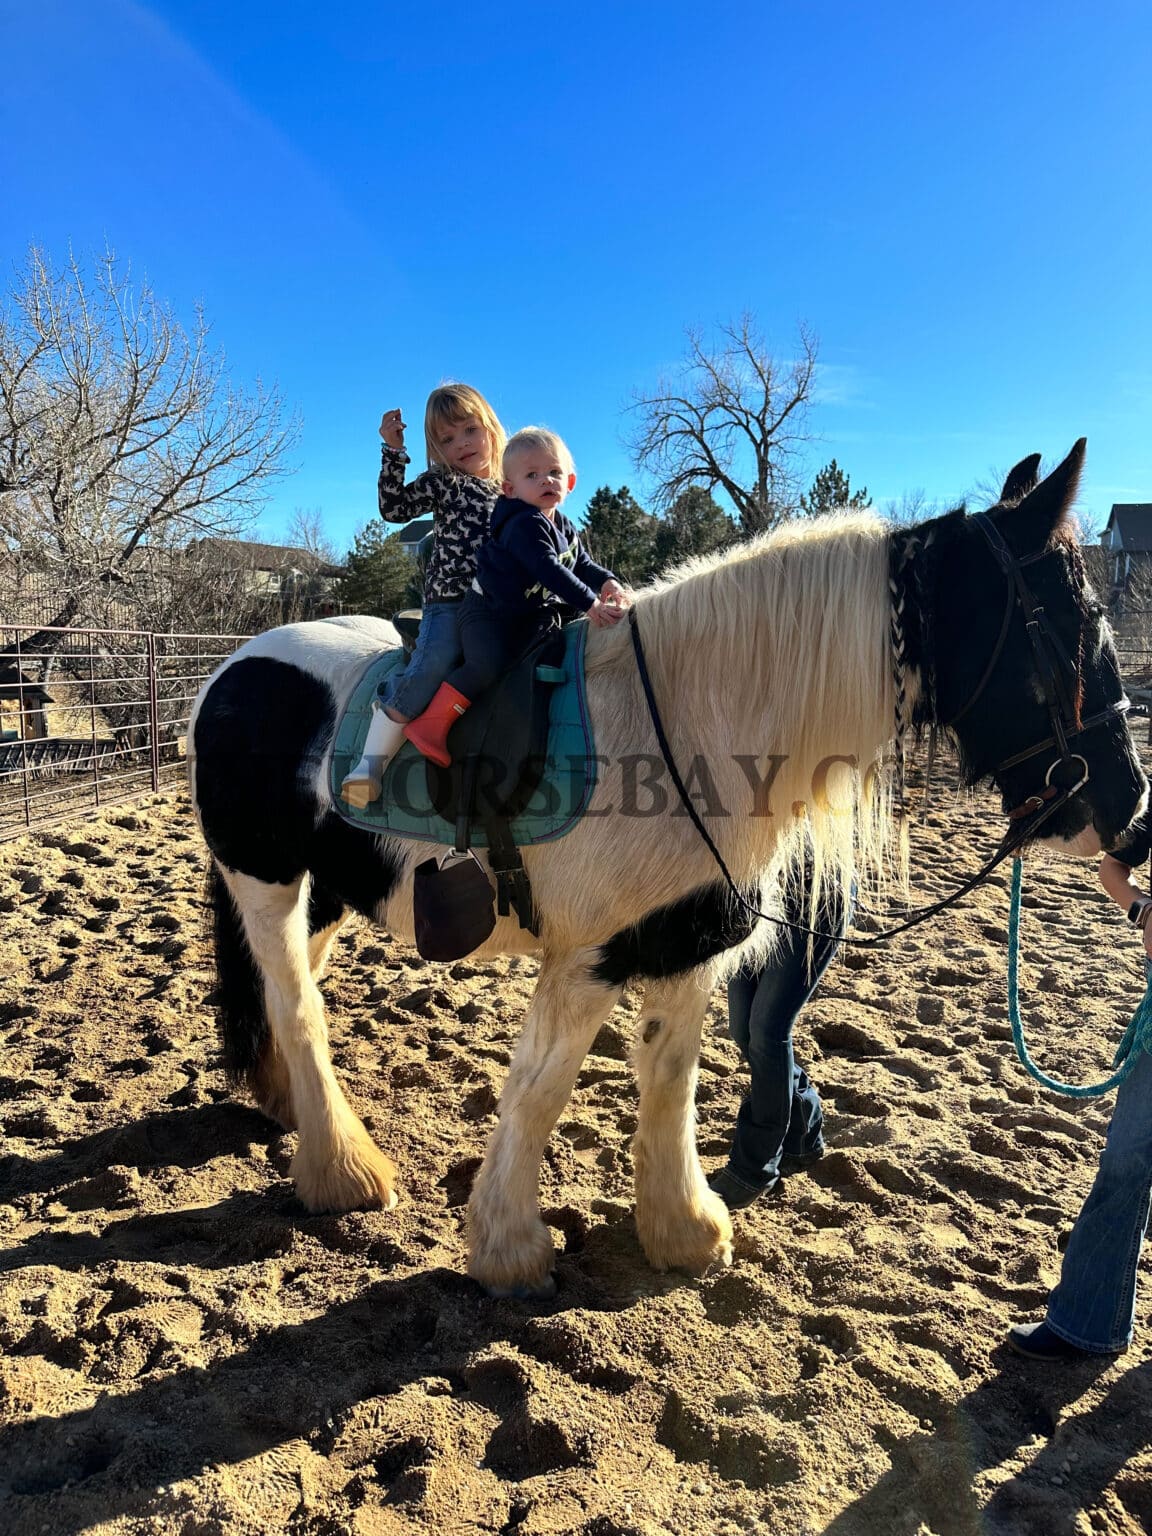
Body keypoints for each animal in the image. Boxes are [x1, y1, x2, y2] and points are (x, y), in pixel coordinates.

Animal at [189, 440, 1146, 1298]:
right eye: (1074, 626)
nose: (1129, 814)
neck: (688, 723)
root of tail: (232, 666)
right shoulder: (588, 960)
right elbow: (541, 1090)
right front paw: (509, 1251)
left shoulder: (687, 949)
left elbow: (670, 1082)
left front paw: (683, 1231)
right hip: (265, 881)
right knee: (296, 1005)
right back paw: (343, 1172)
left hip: (328, 890)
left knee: (289, 993)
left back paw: (290, 1111)